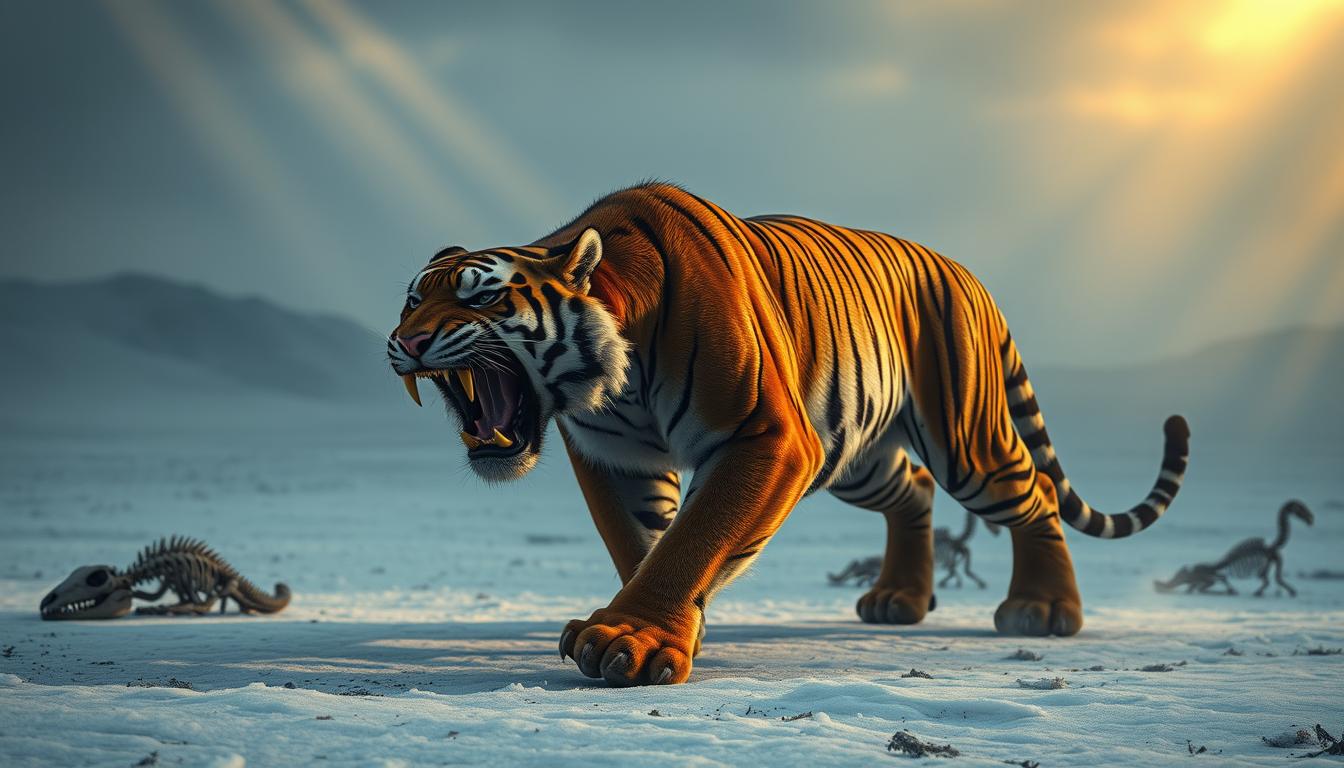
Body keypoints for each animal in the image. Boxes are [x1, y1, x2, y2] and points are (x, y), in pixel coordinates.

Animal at [388, 182, 1190, 687]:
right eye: (411, 300)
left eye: (482, 299)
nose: (406, 342)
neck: (614, 375)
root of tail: (970, 276)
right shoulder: (613, 458)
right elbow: (642, 544)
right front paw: (675, 631)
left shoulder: (765, 436)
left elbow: (694, 538)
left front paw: (631, 640)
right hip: (856, 458)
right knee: (914, 489)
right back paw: (898, 598)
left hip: (965, 442)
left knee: (1034, 496)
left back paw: (1044, 611)